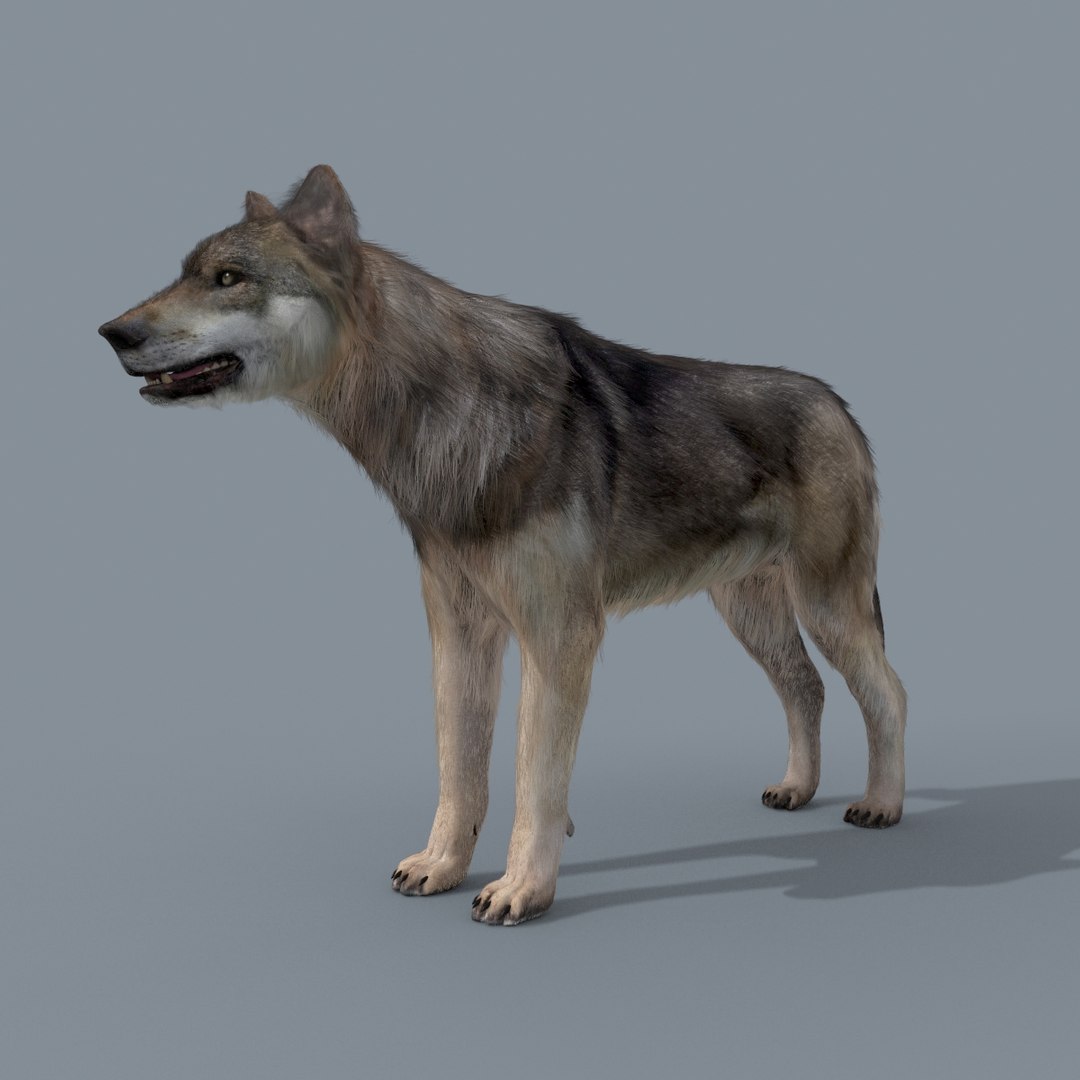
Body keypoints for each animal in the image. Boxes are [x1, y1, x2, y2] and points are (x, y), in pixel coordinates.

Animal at [100, 165, 907, 925]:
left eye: (228, 279)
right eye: (187, 271)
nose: (111, 332)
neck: (441, 416)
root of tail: (839, 403)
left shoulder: (560, 636)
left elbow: (535, 781)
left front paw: (521, 890)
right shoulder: (459, 632)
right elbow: (460, 768)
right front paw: (442, 866)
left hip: (826, 608)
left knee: (887, 692)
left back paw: (881, 806)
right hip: (752, 614)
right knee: (805, 686)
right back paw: (798, 789)